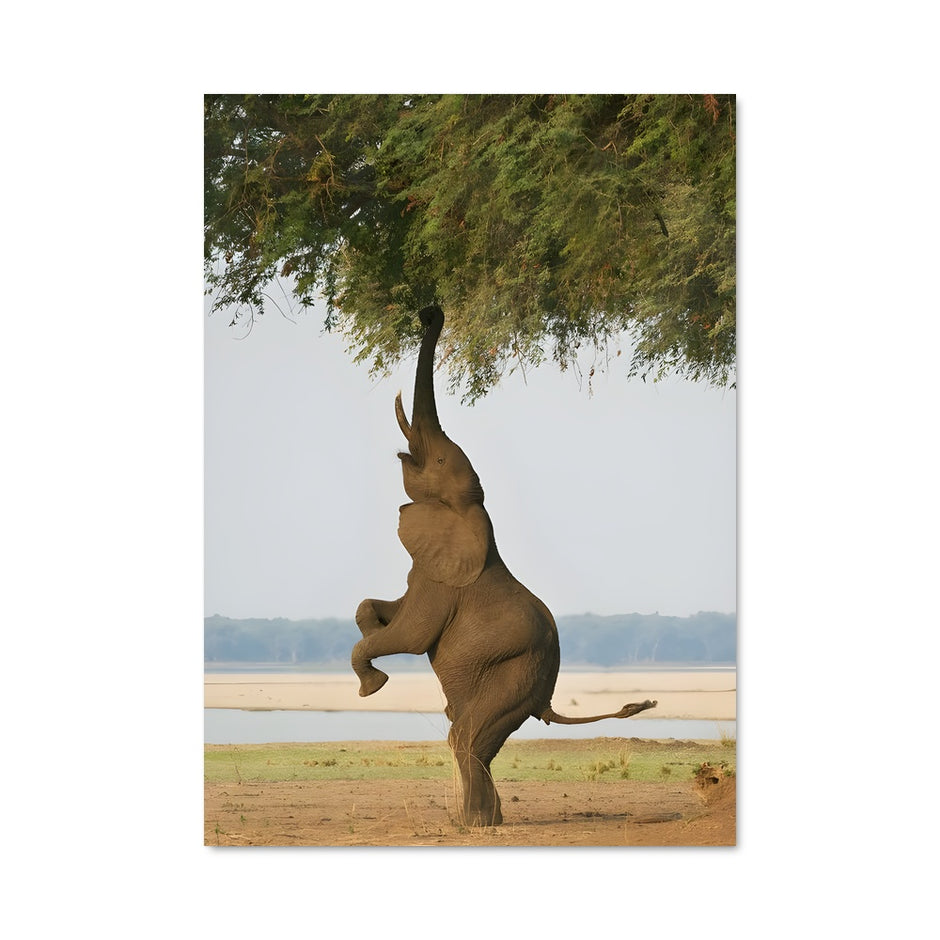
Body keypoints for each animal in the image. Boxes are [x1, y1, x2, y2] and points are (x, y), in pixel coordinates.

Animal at [352, 305, 656, 826]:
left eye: (437, 460)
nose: (431, 311)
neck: (474, 511)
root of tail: (547, 695)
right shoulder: (430, 569)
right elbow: (381, 608)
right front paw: (372, 635)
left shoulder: (445, 585)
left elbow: (411, 636)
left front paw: (373, 686)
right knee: (473, 736)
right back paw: (484, 820)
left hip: (513, 676)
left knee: (467, 736)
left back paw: (473, 824)